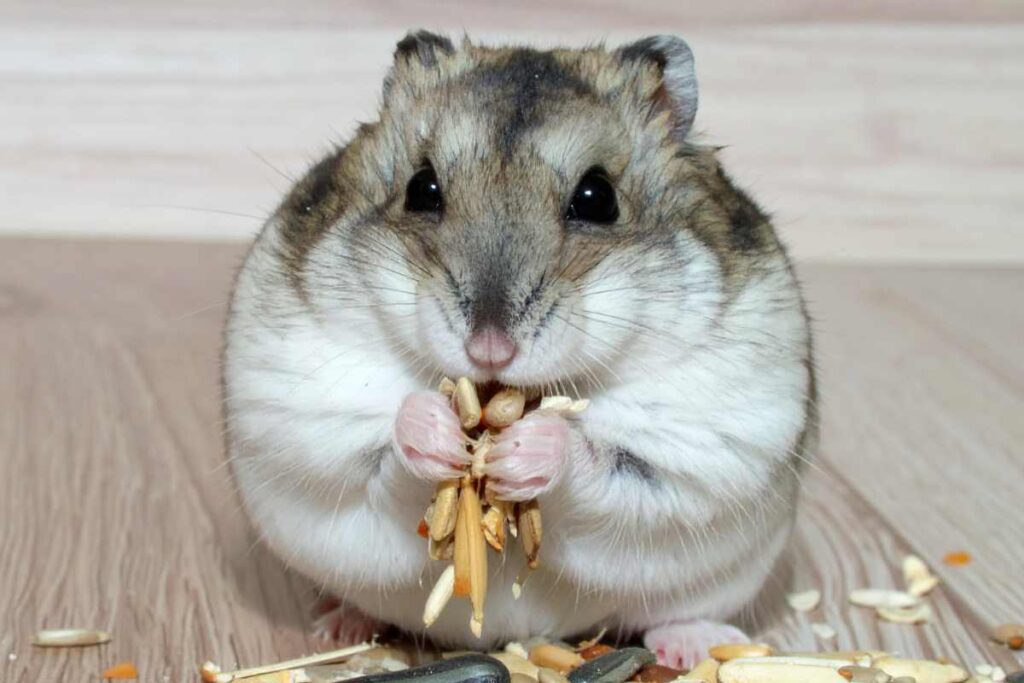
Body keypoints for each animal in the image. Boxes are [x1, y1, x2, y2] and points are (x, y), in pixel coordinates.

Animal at [222, 31, 815, 669]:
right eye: (421, 189)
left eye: (598, 199)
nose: (489, 348)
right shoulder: (298, 413)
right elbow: (382, 455)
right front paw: (436, 432)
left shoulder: (703, 447)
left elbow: (604, 464)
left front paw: (525, 451)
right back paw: (340, 626)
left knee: (678, 612)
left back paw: (693, 646)